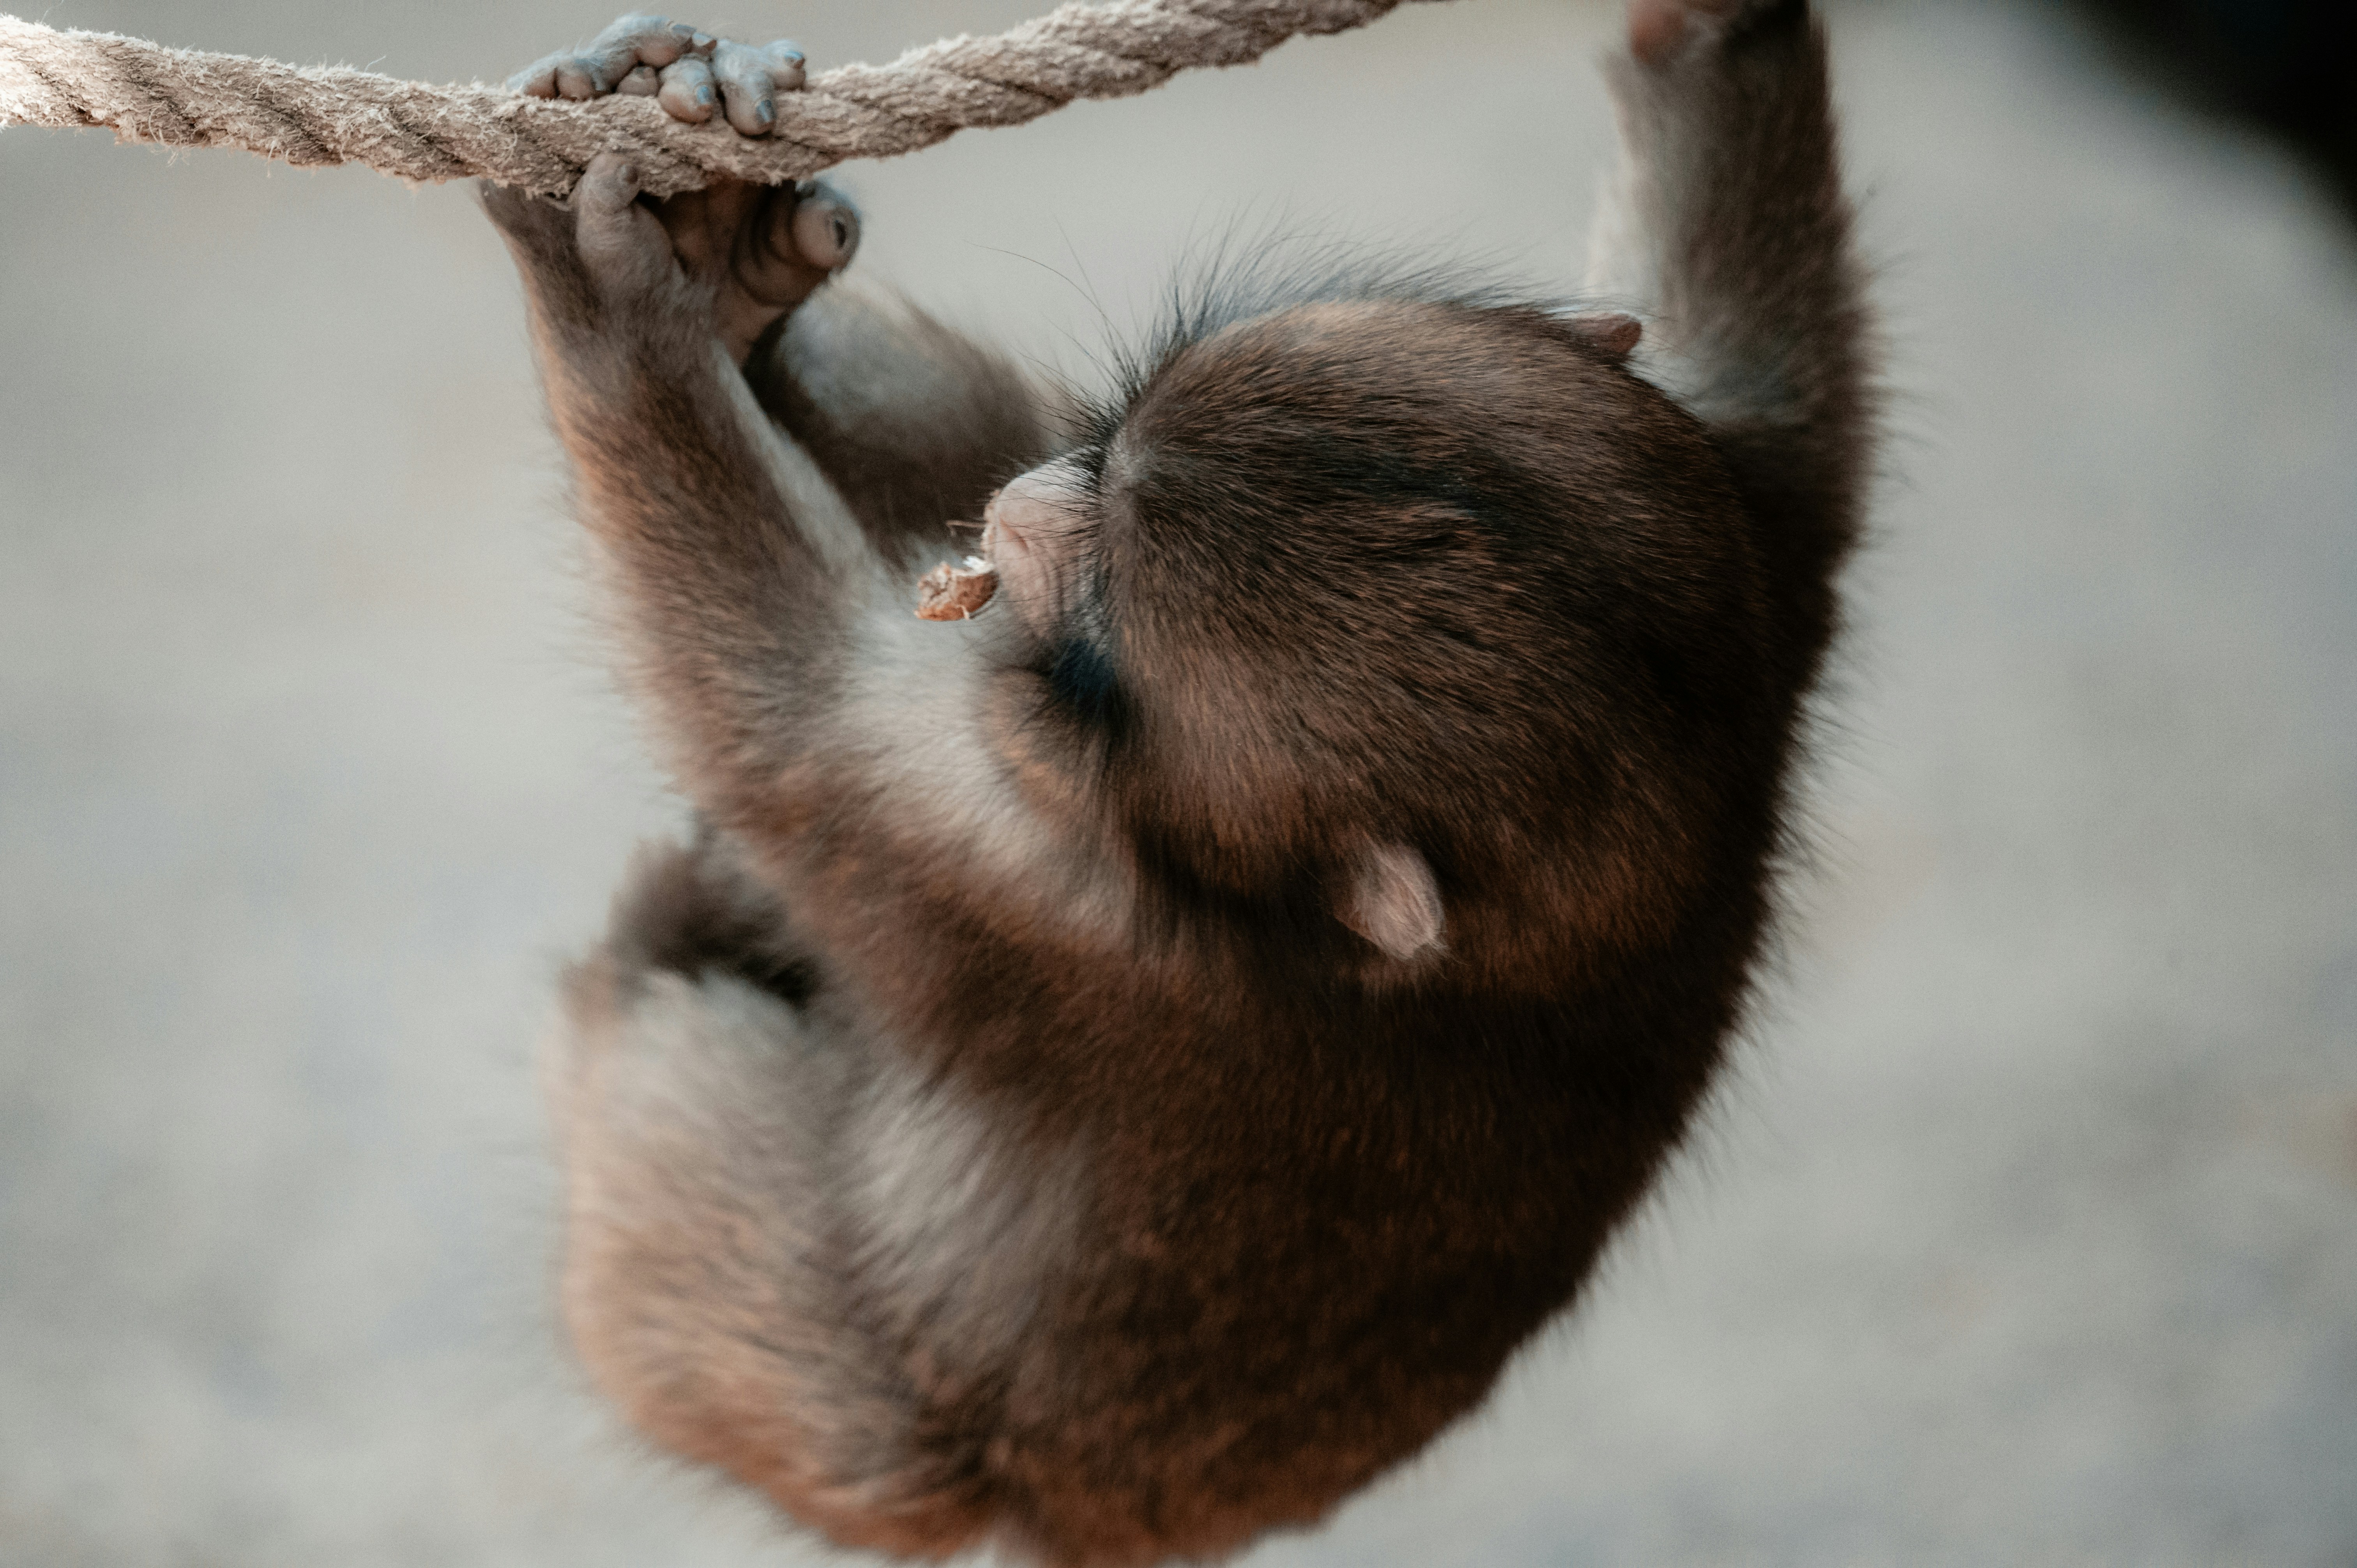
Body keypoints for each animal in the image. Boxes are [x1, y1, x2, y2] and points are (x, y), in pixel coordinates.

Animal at [480, 0, 1872, 1562]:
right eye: (1100, 451)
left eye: (1099, 637)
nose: (1034, 506)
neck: (1644, 875)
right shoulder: (1767, 543)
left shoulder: (1060, 888)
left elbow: (783, 718)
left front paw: (615, 320)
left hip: (771, 1359)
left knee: (681, 1040)